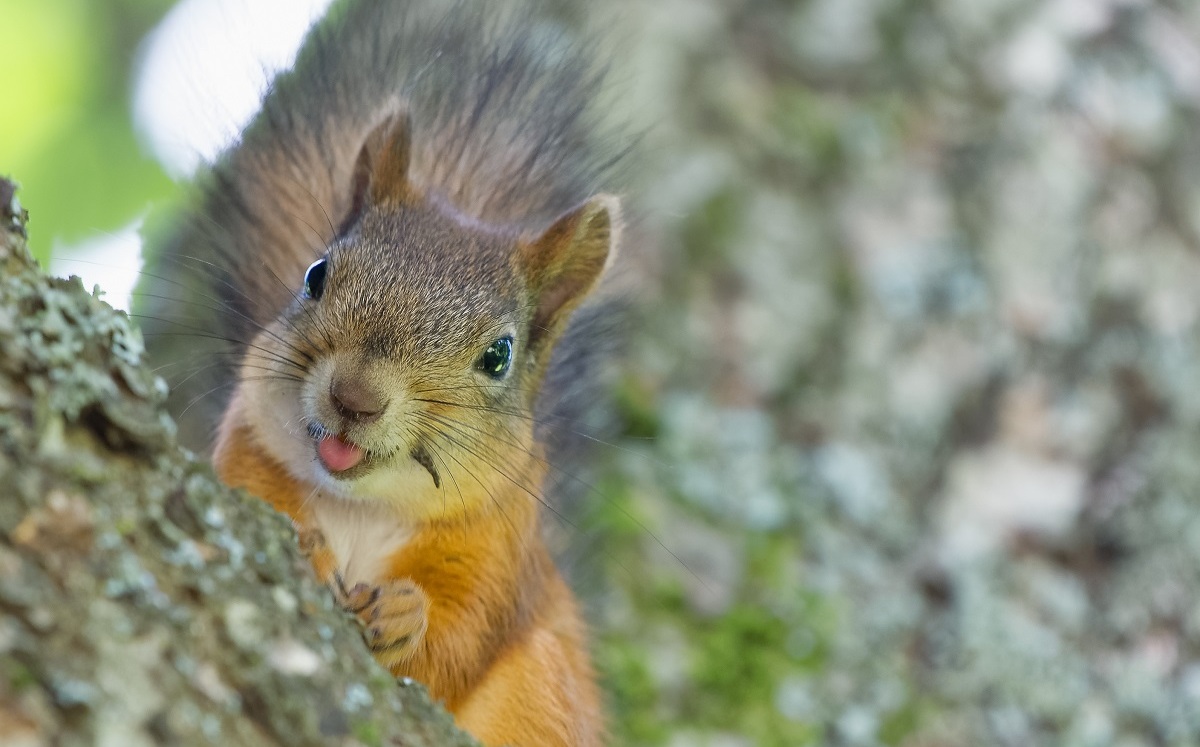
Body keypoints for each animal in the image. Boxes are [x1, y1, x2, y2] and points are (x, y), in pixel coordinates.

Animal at [141, 1, 627, 744]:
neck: (363, 506)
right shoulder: (246, 457)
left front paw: (406, 616)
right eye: (315, 275)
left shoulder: (499, 554)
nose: (355, 398)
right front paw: (304, 549)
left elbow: (453, 650)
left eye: (499, 355)